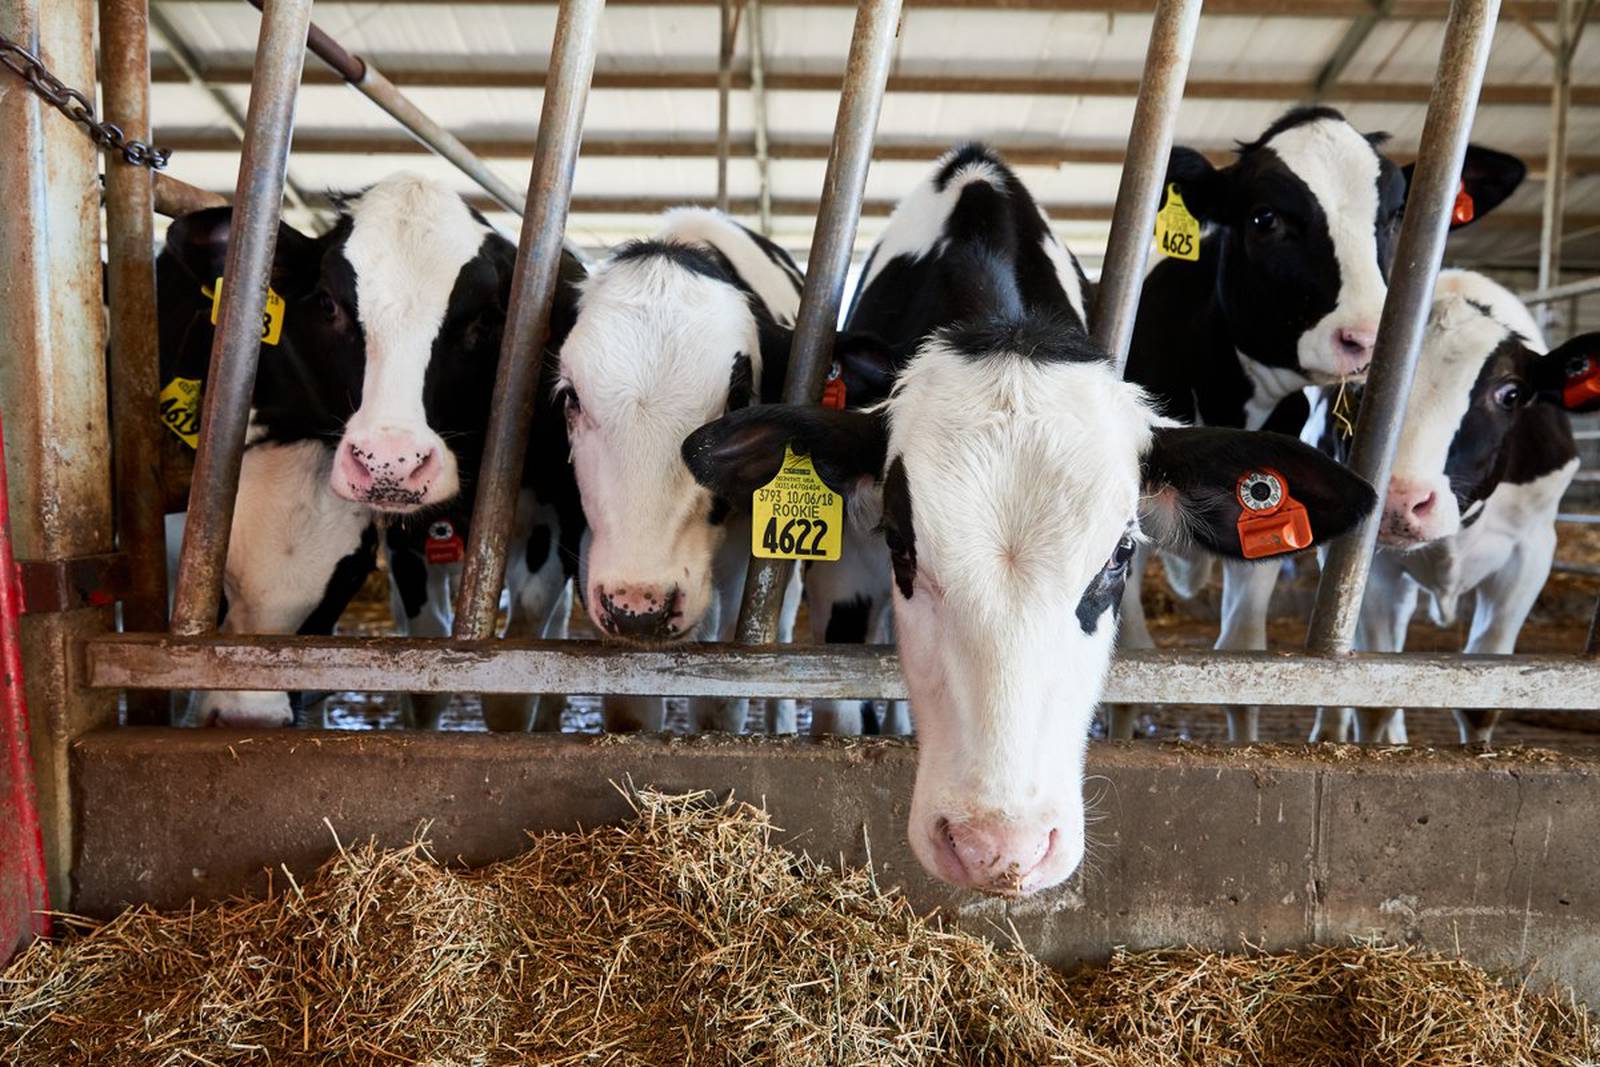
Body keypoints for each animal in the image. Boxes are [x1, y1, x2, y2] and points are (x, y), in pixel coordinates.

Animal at [157, 172, 586, 728]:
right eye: (326, 304)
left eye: (489, 318)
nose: (389, 462)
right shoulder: (407, 540)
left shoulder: (552, 525)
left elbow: (517, 677)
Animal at [1306, 271, 1600, 745]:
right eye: (1363, 382)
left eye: (1511, 394)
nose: (1399, 500)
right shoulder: (1369, 566)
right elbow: (1371, 692)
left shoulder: (1530, 551)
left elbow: (1480, 704)